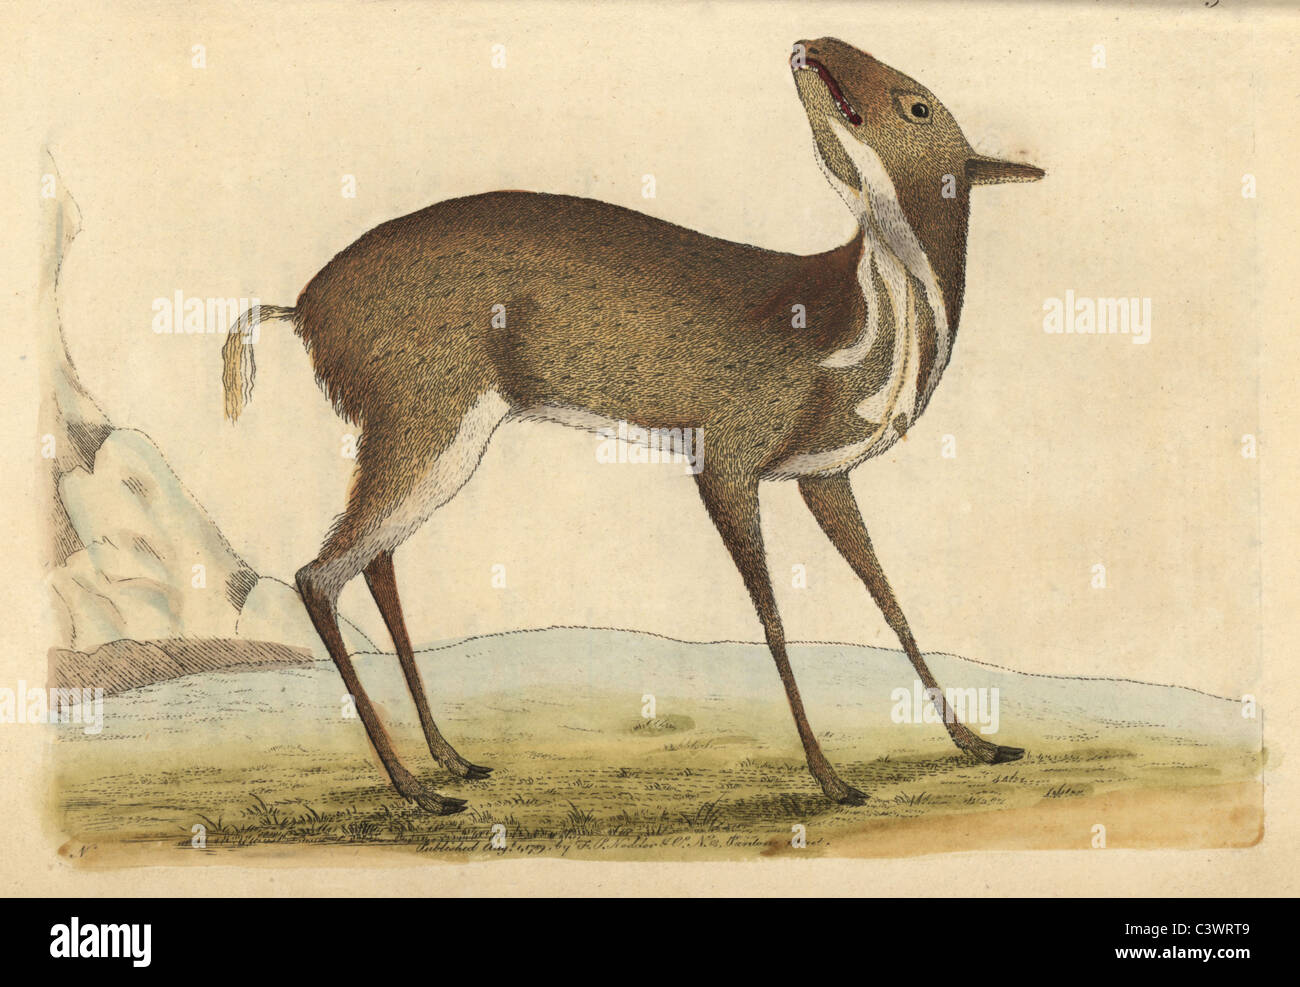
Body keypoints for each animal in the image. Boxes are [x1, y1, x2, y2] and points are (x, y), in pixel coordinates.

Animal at [221, 37, 1044, 814]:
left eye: (917, 106)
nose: (815, 42)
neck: (856, 328)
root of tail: (303, 310)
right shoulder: (726, 453)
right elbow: (774, 618)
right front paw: (829, 776)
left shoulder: (823, 473)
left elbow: (891, 598)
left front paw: (978, 743)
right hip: (425, 411)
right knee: (320, 571)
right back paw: (415, 788)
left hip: (430, 431)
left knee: (373, 557)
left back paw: (451, 760)